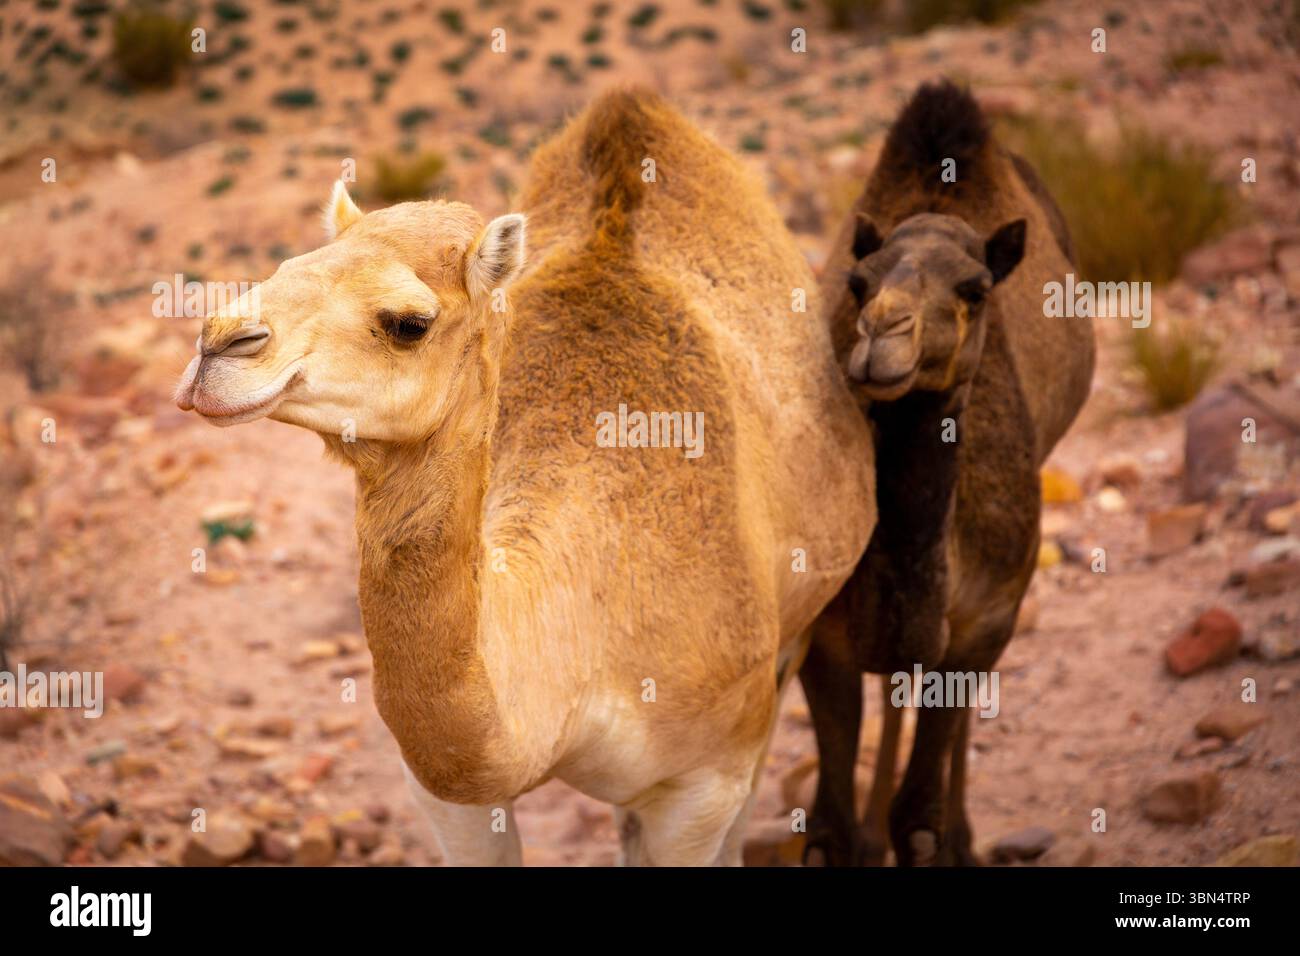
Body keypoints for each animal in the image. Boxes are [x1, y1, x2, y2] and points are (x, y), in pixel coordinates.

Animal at [174, 88, 876, 865]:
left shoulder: (704, 783)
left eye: (409, 322)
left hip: (795, 635)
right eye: (287, 265)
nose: (217, 345)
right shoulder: (444, 789)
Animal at [799, 81, 1095, 866]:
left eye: (975, 288)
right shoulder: (819, 635)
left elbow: (920, 817)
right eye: (858, 282)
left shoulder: (985, 620)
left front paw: (945, 835)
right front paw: (863, 832)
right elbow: (829, 829)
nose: (883, 335)